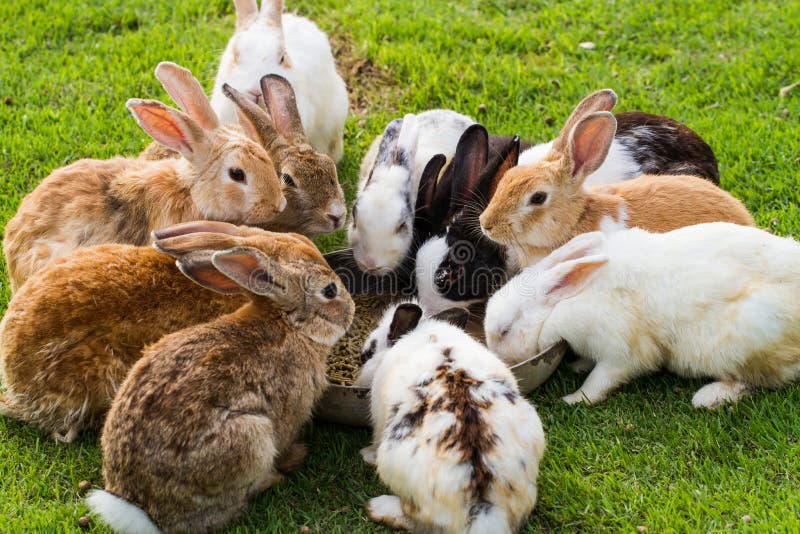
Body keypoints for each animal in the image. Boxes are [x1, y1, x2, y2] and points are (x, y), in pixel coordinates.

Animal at [86, 230, 354, 533]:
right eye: (330, 291)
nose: (352, 308)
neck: (290, 325)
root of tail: (144, 510)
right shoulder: (290, 414)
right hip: (251, 437)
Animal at [357, 302, 545, 533]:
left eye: (368, 353)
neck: (425, 334)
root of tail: (483, 508)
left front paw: (367, 454)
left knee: (415, 521)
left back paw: (378, 507)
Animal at [485, 224, 800, 408]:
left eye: (505, 330)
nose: (500, 360)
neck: (561, 305)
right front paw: (578, 365)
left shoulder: (619, 352)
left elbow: (600, 381)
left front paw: (574, 399)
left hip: (741, 343)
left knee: (758, 381)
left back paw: (709, 396)